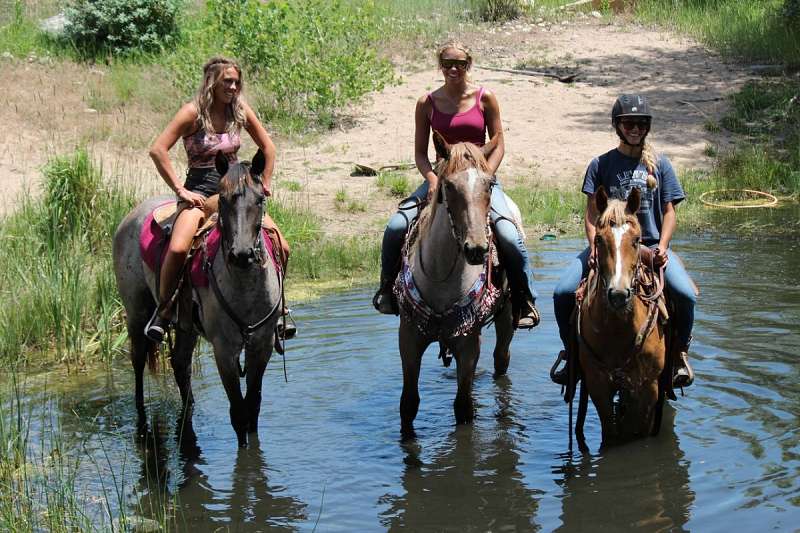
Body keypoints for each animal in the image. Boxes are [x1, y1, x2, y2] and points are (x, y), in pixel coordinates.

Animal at [113, 150, 282, 448]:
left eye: (260, 199)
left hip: (186, 325)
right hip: (136, 312)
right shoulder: (223, 351)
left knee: (180, 363)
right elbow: (238, 413)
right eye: (223, 200)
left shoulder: (262, 346)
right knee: (138, 361)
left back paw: (188, 410)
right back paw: (141, 418)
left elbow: (253, 409)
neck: (245, 290)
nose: (241, 255)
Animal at [395, 132, 516, 438]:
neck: (441, 275)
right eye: (448, 185)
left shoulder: (467, 342)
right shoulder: (409, 338)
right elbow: (408, 404)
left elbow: (463, 408)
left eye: (490, 184)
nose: (476, 249)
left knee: (501, 360)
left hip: (507, 317)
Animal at [574, 185, 669, 447]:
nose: (618, 295)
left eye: (636, 241)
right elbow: (611, 433)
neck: (618, 330)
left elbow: (639, 433)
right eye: (598, 239)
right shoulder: (598, 386)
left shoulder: (649, 387)